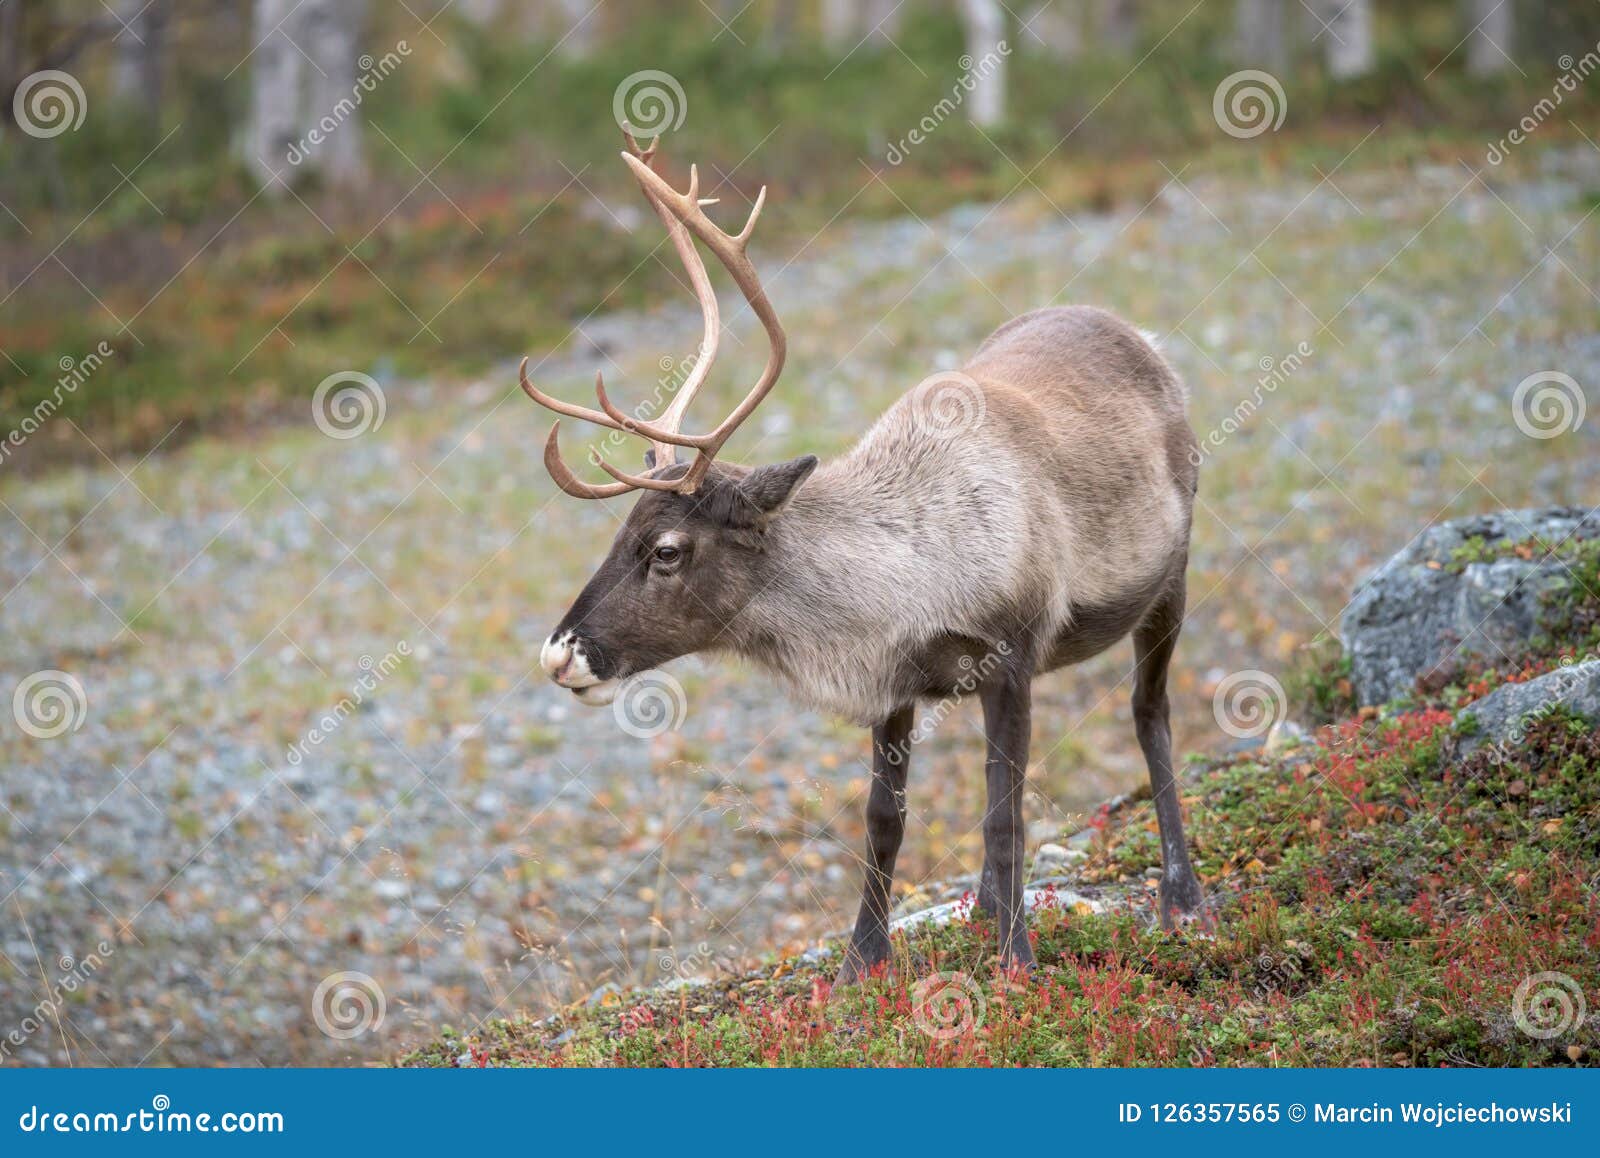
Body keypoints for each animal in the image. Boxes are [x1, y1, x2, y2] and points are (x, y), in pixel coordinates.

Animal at [525, 131, 1209, 984]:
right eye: (620, 532)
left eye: (667, 551)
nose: (560, 652)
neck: (913, 567)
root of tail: (1142, 337)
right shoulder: (894, 681)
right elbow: (885, 819)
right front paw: (862, 961)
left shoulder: (1012, 656)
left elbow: (1006, 815)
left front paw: (1016, 960)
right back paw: (984, 907)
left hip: (1171, 579)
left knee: (1151, 711)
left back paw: (1182, 896)